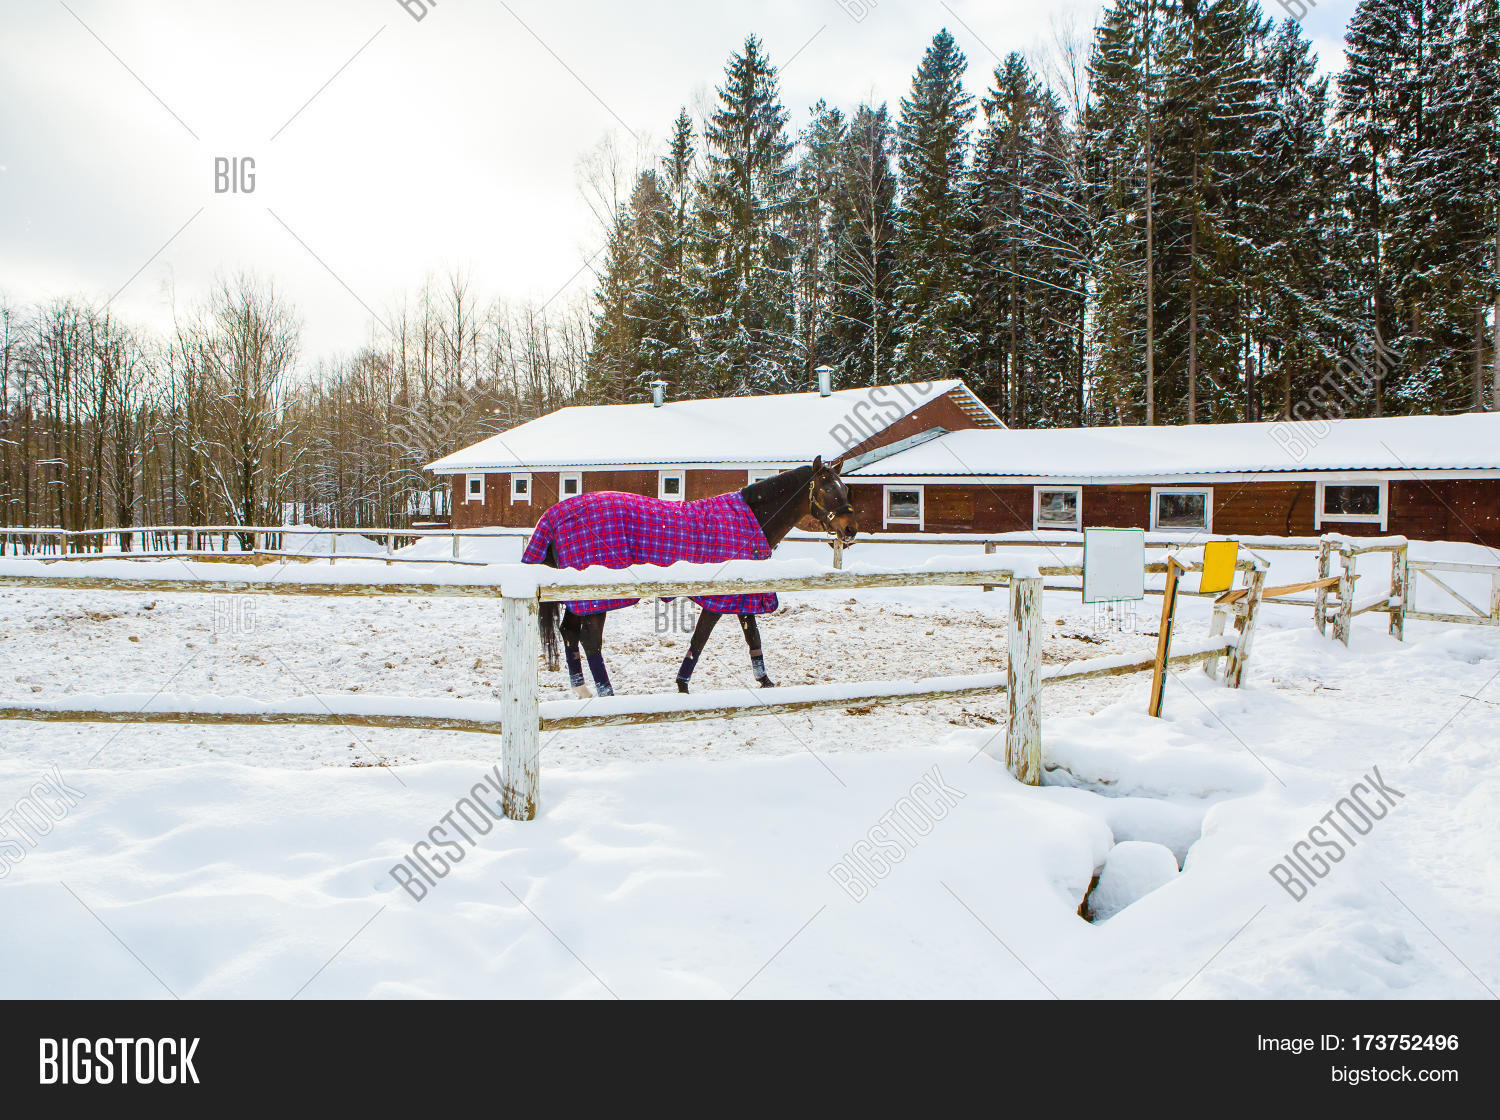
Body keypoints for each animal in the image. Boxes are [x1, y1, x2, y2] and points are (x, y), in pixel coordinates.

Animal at [524, 457, 857, 697]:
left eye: (845, 488)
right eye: (827, 489)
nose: (850, 529)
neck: (751, 519)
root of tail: (554, 514)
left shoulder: (742, 596)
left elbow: (752, 636)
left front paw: (765, 680)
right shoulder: (718, 599)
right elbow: (701, 638)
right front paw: (682, 683)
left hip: (578, 598)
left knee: (568, 633)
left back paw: (581, 690)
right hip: (597, 599)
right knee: (590, 640)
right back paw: (607, 694)